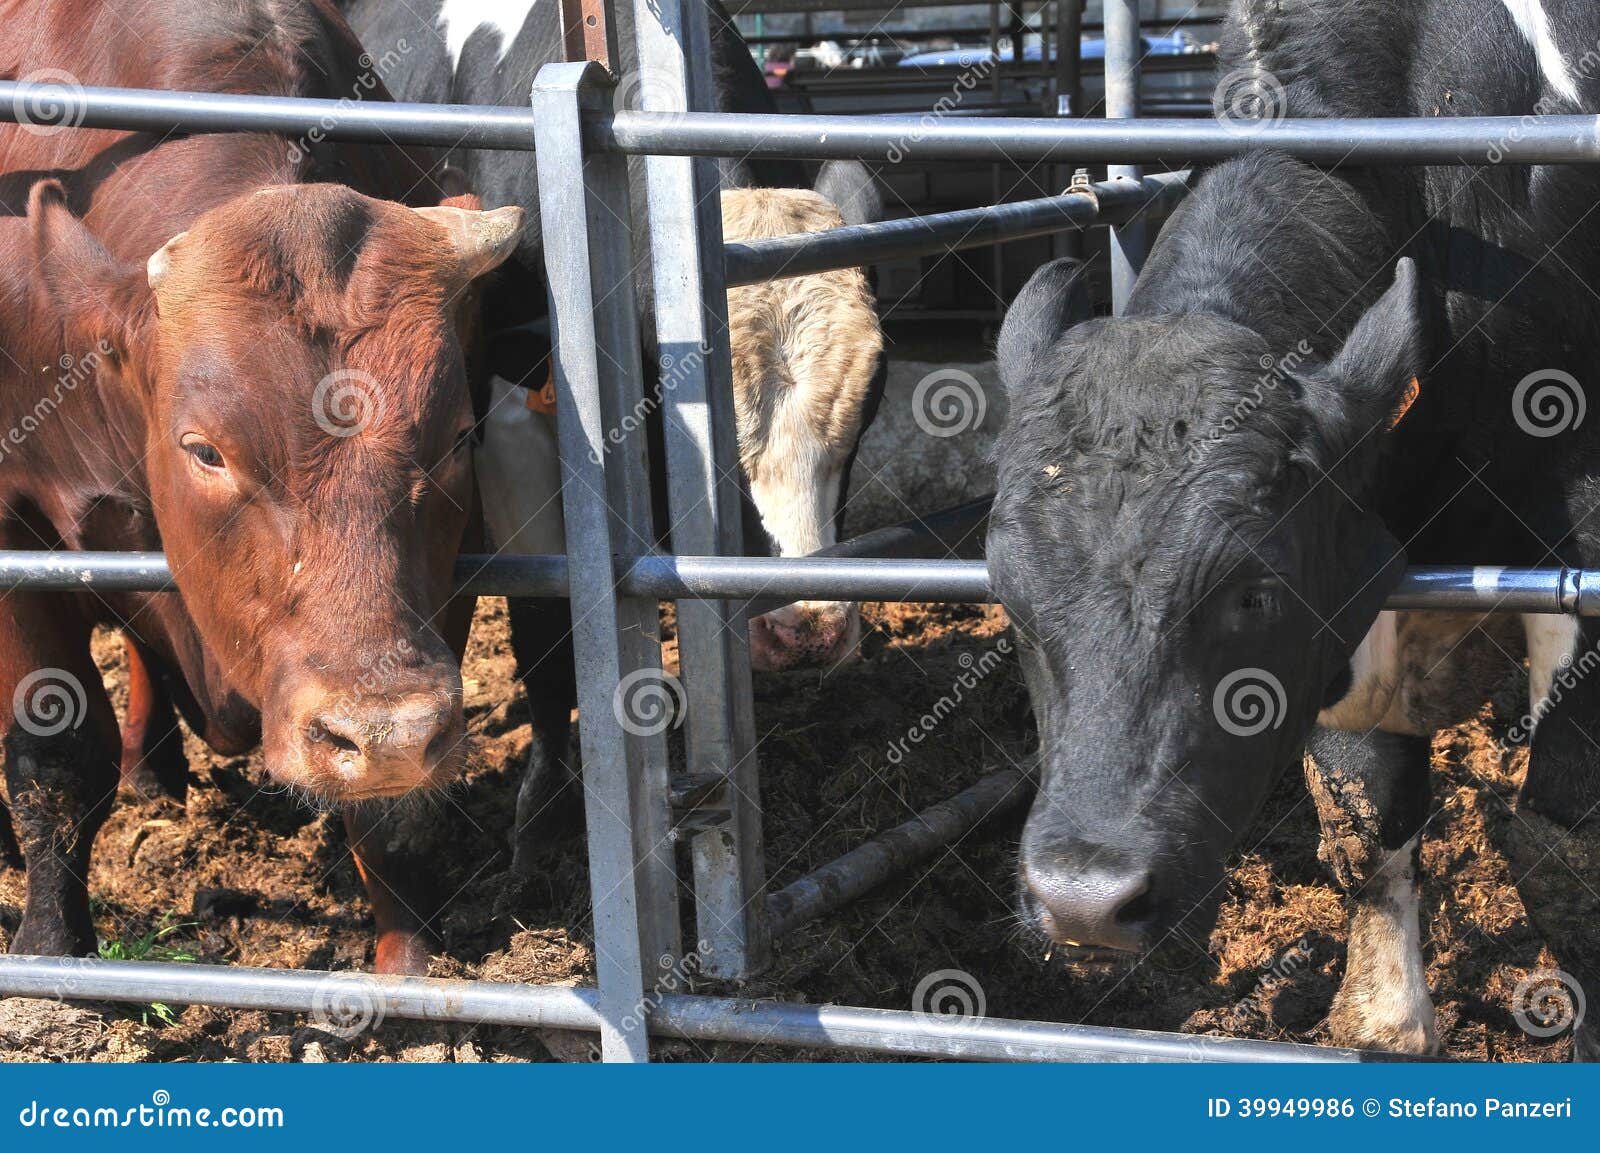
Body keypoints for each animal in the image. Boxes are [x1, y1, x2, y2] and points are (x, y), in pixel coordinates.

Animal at [0, 0, 521, 976]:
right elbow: (54, 759)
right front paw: (55, 953)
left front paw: (410, 970)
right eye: (204, 451)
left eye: (458, 436)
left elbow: (392, 812)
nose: (385, 728)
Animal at [988, 0, 1600, 1059]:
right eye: (1010, 597)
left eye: (1252, 590)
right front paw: (1383, 1017)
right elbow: (1362, 814)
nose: (1083, 899)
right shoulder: (1358, 583)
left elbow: (1561, 845)